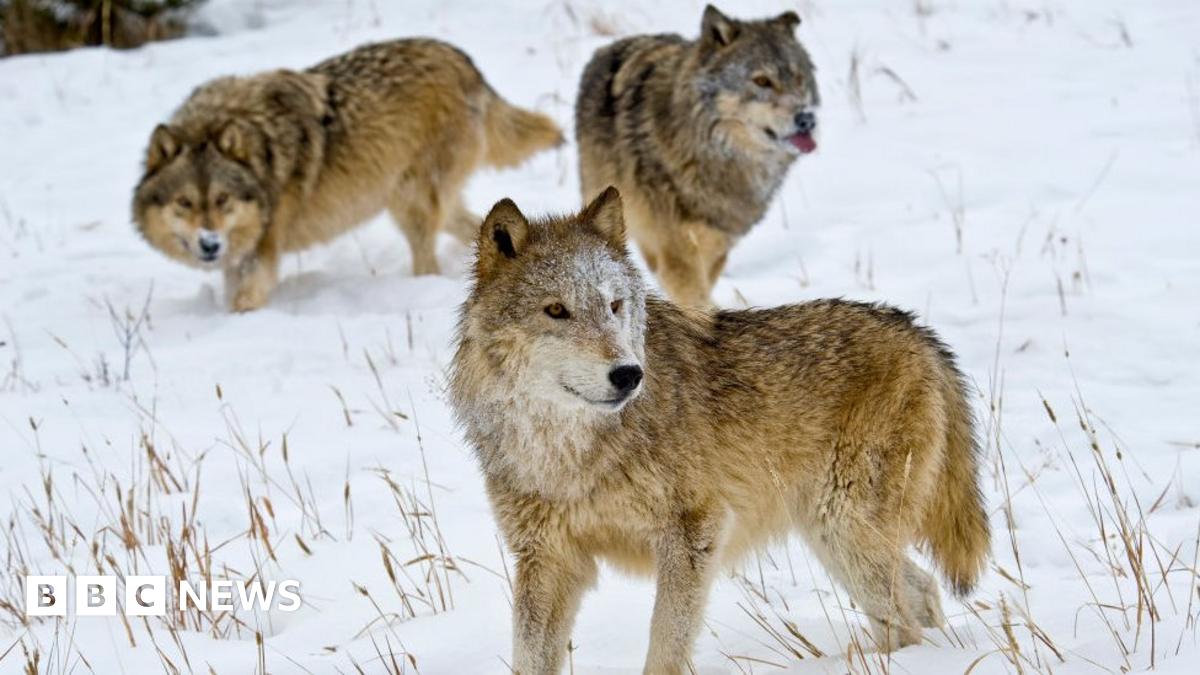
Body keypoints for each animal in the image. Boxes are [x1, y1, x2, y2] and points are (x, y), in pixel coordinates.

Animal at [133, 38, 562, 312]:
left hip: (410, 205)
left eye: (222, 200)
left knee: (428, 255)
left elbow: (243, 303)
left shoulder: (262, 256)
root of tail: (463, 61)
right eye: (185, 202)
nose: (210, 245)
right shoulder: (238, 258)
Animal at [449, 188, 990, 674]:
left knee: (905, 618)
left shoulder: (695, 533)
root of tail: (919, 332)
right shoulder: (547, 560)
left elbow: (665, 650)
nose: (628, 375)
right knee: (921, 593)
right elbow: (529, 658)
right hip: (835, 538)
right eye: (556, 310)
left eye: (615, 306)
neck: (569, 452)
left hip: (844, 530)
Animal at [575, 5, 819, 308]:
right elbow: (692, 295)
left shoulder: (717, 243)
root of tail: (613, 45)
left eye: (798, 78)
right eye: (762, 81)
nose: (806, 119)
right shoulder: (676, 249)